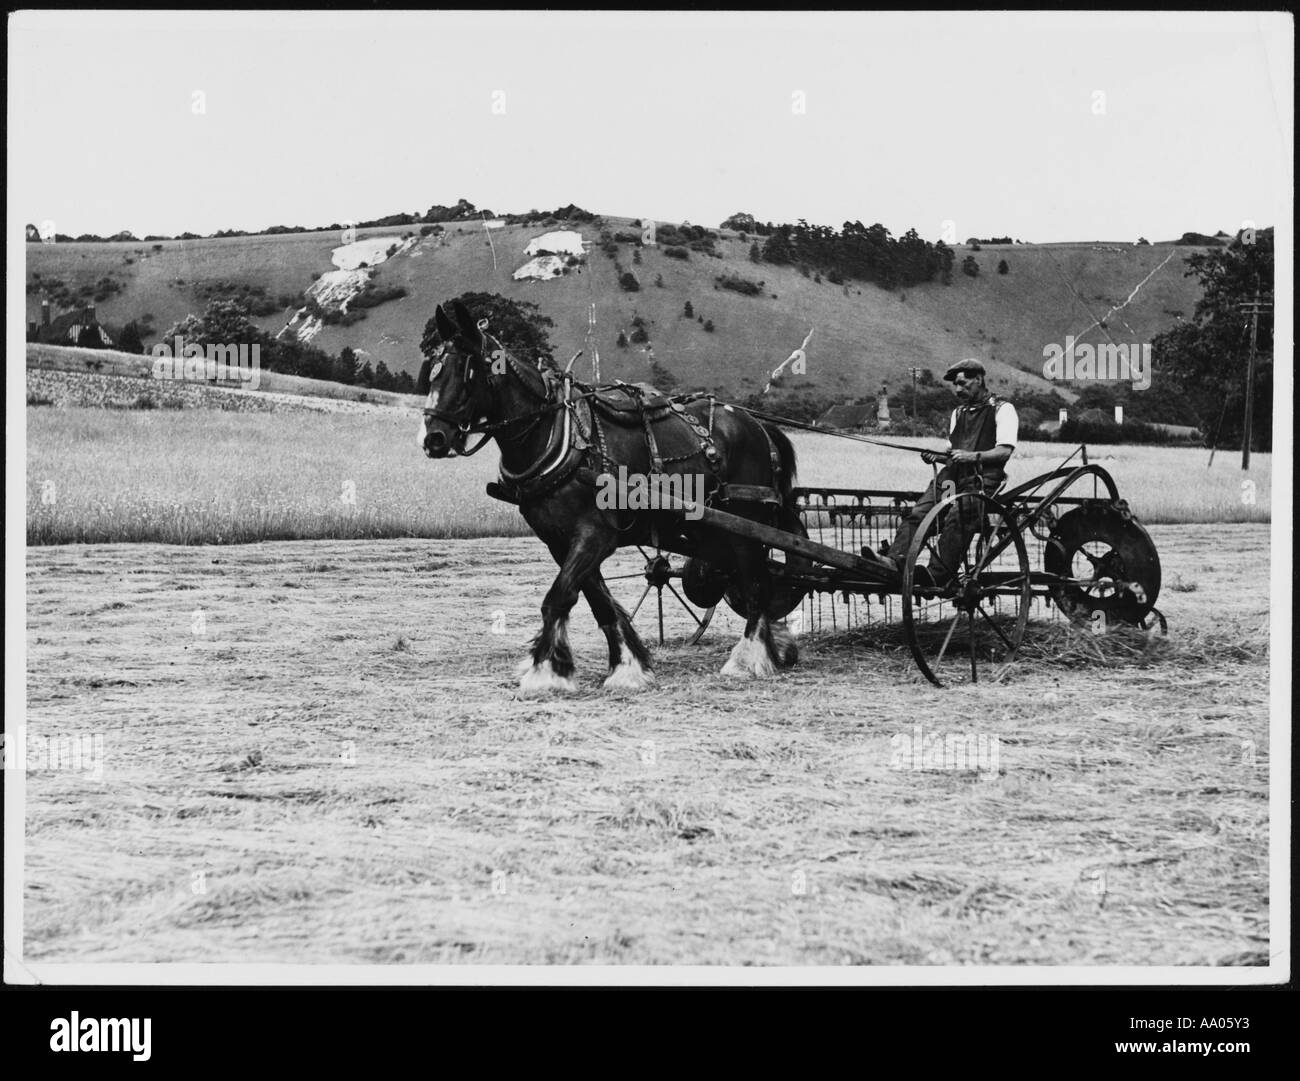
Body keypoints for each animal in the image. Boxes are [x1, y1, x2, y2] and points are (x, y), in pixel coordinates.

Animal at [417, 300, 799, 697]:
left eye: (467, 372)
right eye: (432, 371)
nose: (433, 439)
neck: (557, 434)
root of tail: (757, 424)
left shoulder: (594, 535)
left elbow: (558, 598)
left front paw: (544, 672)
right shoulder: (560, 541)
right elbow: (600, 604)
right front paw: (626, 666)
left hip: (745, 521)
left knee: (756, 585)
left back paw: (748, 660)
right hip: (712, 528)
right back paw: (773, 646)